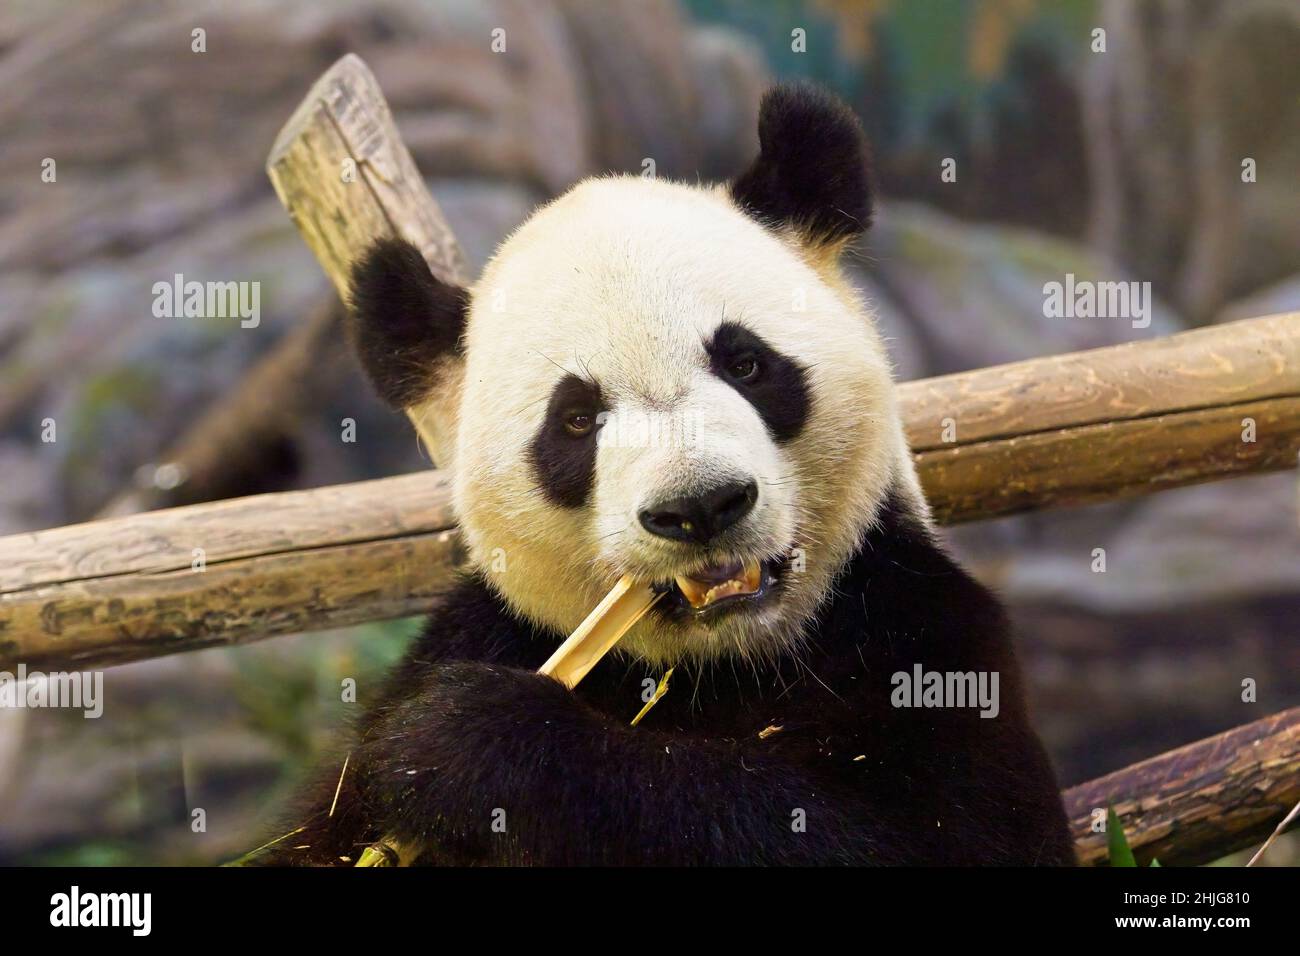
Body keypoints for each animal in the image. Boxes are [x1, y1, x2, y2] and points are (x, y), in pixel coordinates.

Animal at [256, 83, 1075, 866]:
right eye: (576, 420)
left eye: (746, 363)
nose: (702, 506)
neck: (729, 660)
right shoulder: (489, 631)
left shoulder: (923, 637)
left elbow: (925, 834)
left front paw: (469, 742)